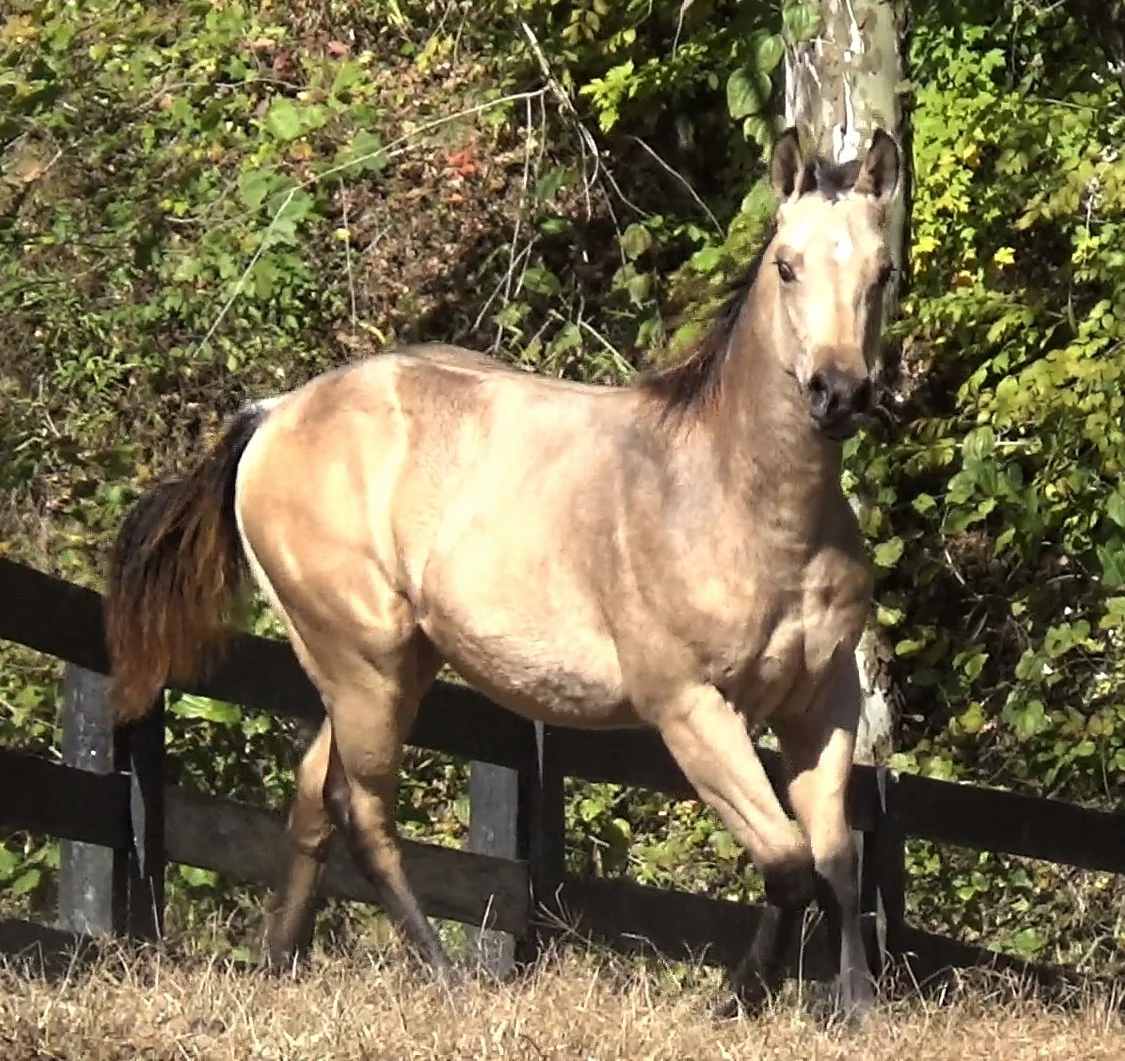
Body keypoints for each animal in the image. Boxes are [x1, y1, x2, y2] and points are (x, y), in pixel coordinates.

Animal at [103, 125, 901, 1022]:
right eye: (787, 265)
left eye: (882, 272)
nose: (839, 392)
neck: (739, 501)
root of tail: (272, 415)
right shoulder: (691, 708)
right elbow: (787, 860)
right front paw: (734, 1001)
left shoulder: (821, 705)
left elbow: (835, 863)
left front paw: (856, 1009)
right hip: (365, 662)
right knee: (360, 810)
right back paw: (446, 977)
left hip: (382, 668)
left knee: (313, 793)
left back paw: (279, 963)